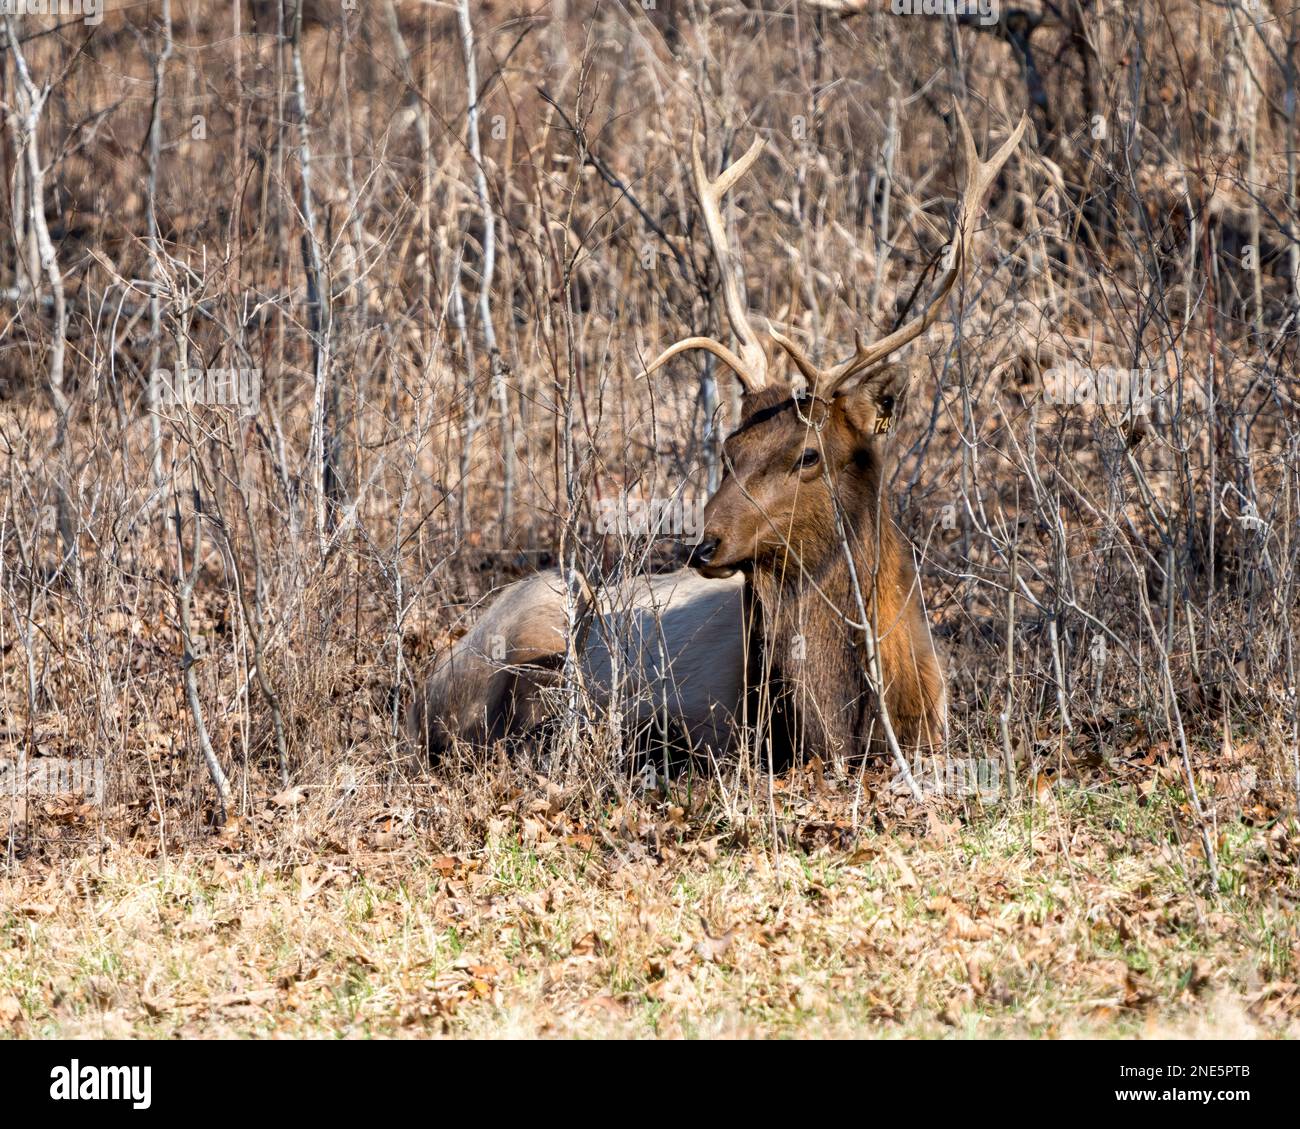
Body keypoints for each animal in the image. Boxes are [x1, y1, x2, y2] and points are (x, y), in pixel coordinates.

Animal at [407, 107, 1026, 776]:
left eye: (809, 455)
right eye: (729, 451)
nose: (706, 545)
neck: (839, 726)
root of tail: (422, 691)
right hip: (538, 609)